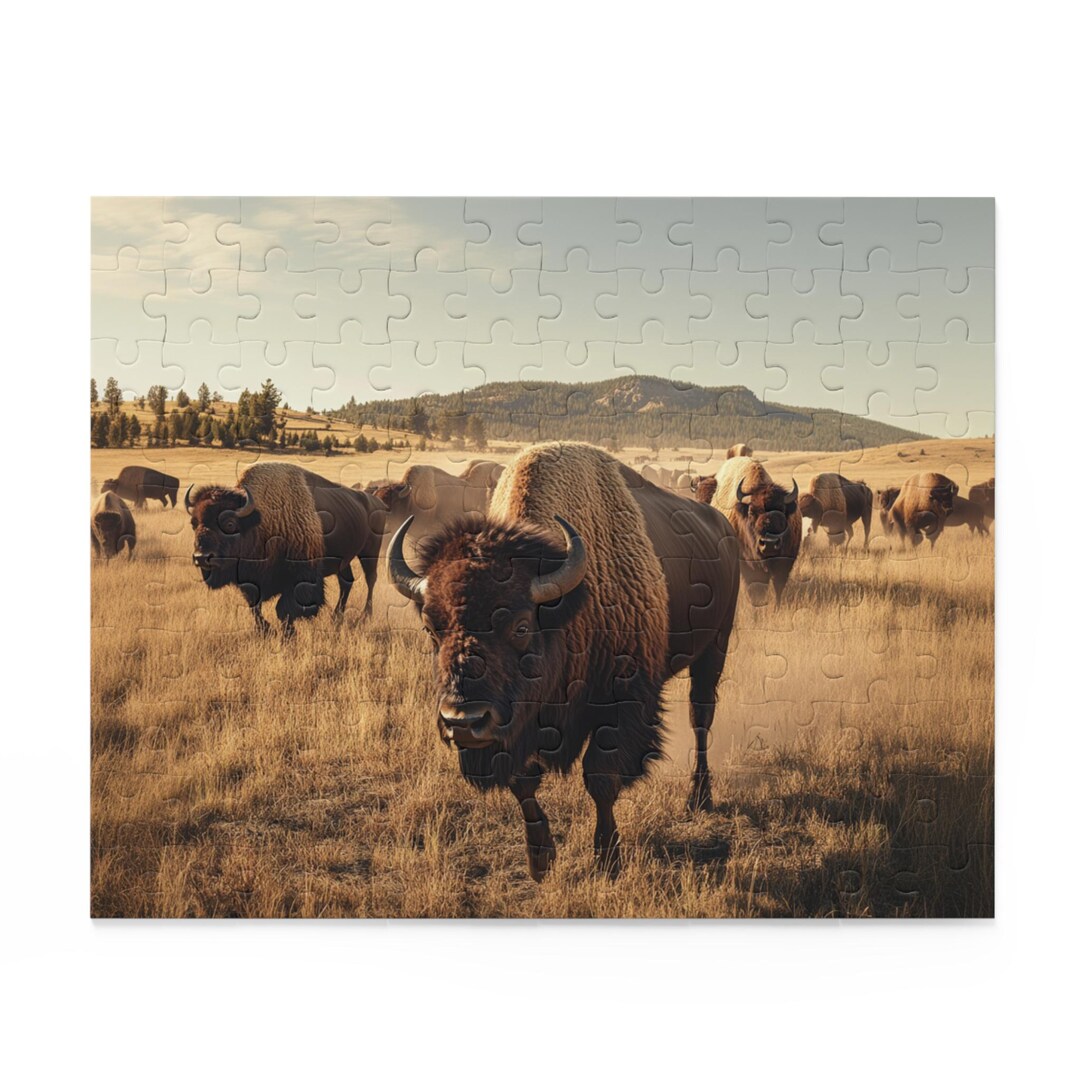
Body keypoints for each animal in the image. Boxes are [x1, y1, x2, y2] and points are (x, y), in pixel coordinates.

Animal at [186, 463, 383, 635]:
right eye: (194, 524)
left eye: (229, 524)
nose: (201, 557)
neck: (262, 522)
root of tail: (375, 501)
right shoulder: (251, 583)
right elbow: (255, 607)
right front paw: (266, 631)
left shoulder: (301, 578)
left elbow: (283, 609)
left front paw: (288, 634)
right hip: (344, 560)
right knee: (346, 583)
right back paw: (336, 618)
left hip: (370, 552)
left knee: (370, 580)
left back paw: (364, 617)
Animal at [387, 442, 739, 881]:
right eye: (431, 628)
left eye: (521, 626)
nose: (463, 722)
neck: (567, 607)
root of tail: (723, 527)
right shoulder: (517, 724)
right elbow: (523, 782)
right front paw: (540, 861)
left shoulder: (621, 700)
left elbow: (600, 778)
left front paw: (608, 859)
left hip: (715, 648)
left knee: (701, 717)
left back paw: (700, 798)